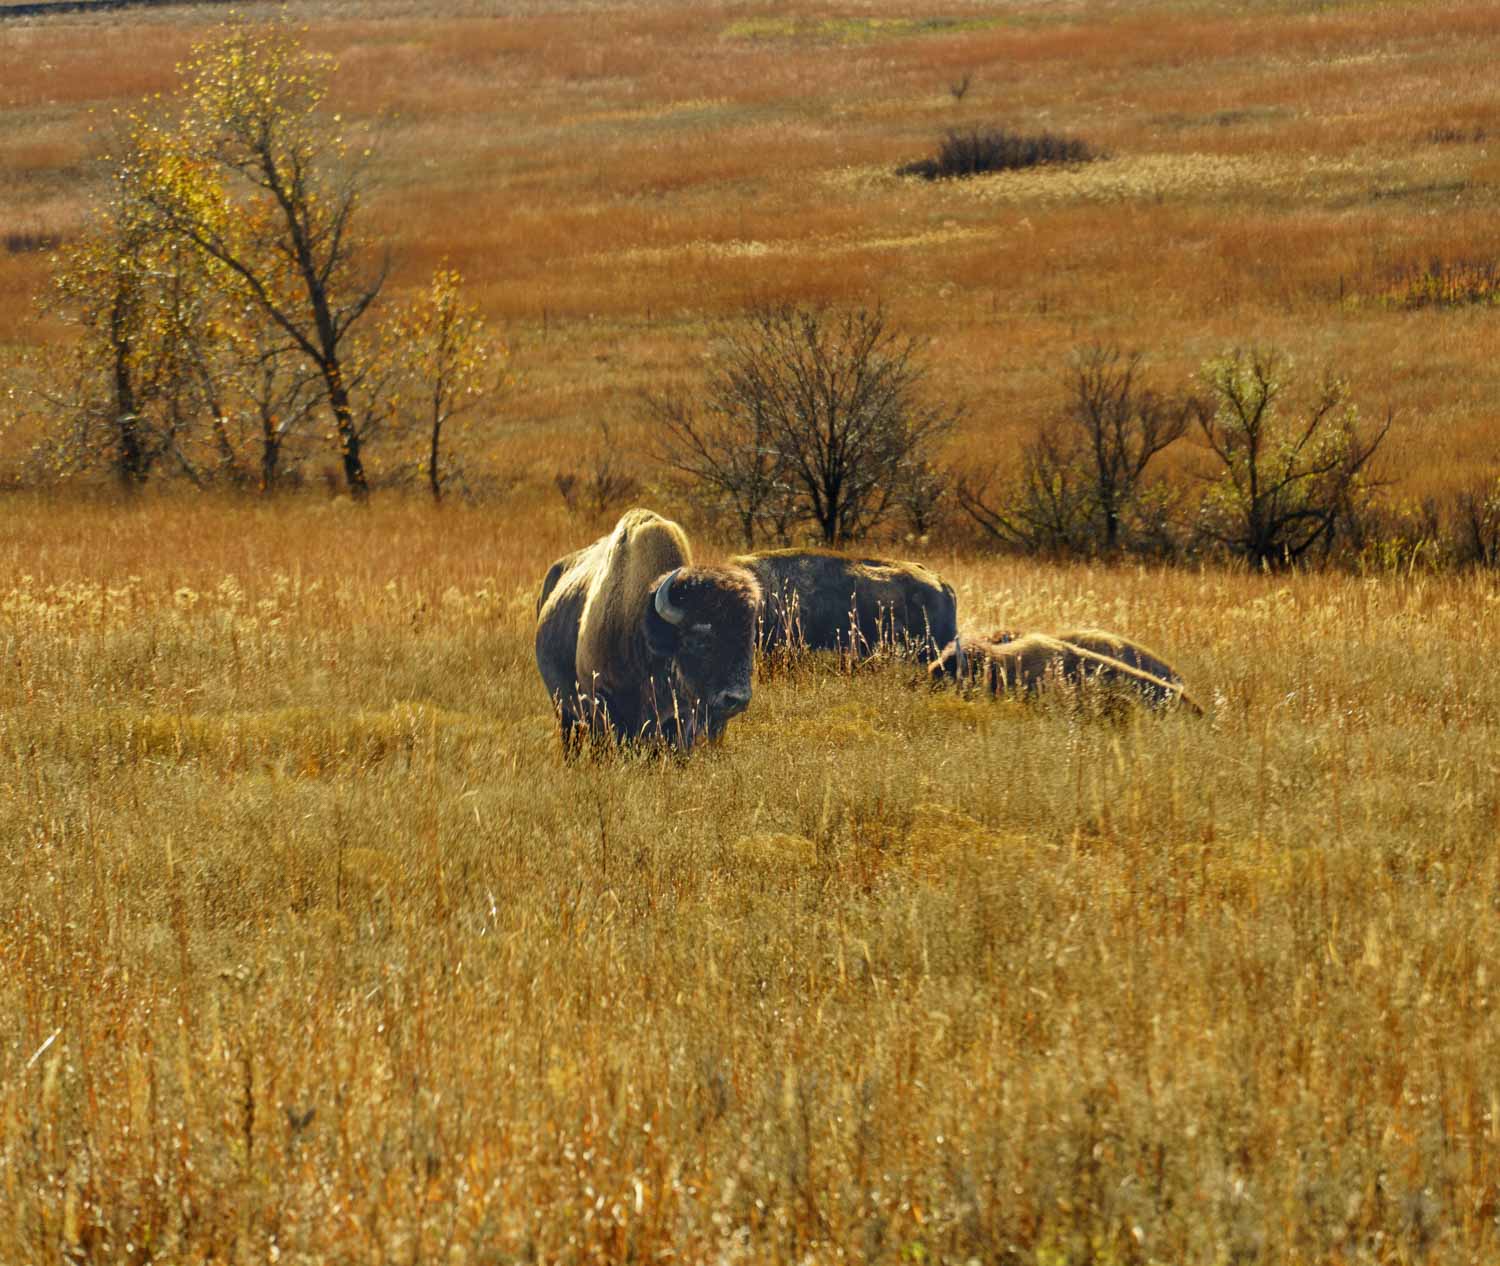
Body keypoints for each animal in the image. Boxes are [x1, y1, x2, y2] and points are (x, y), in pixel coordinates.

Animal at [535, 509, 761, 754]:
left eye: (749, 639)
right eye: (697, 641)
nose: (737, 699)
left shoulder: (679, 718)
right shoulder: (606, 705)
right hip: (563, 708)